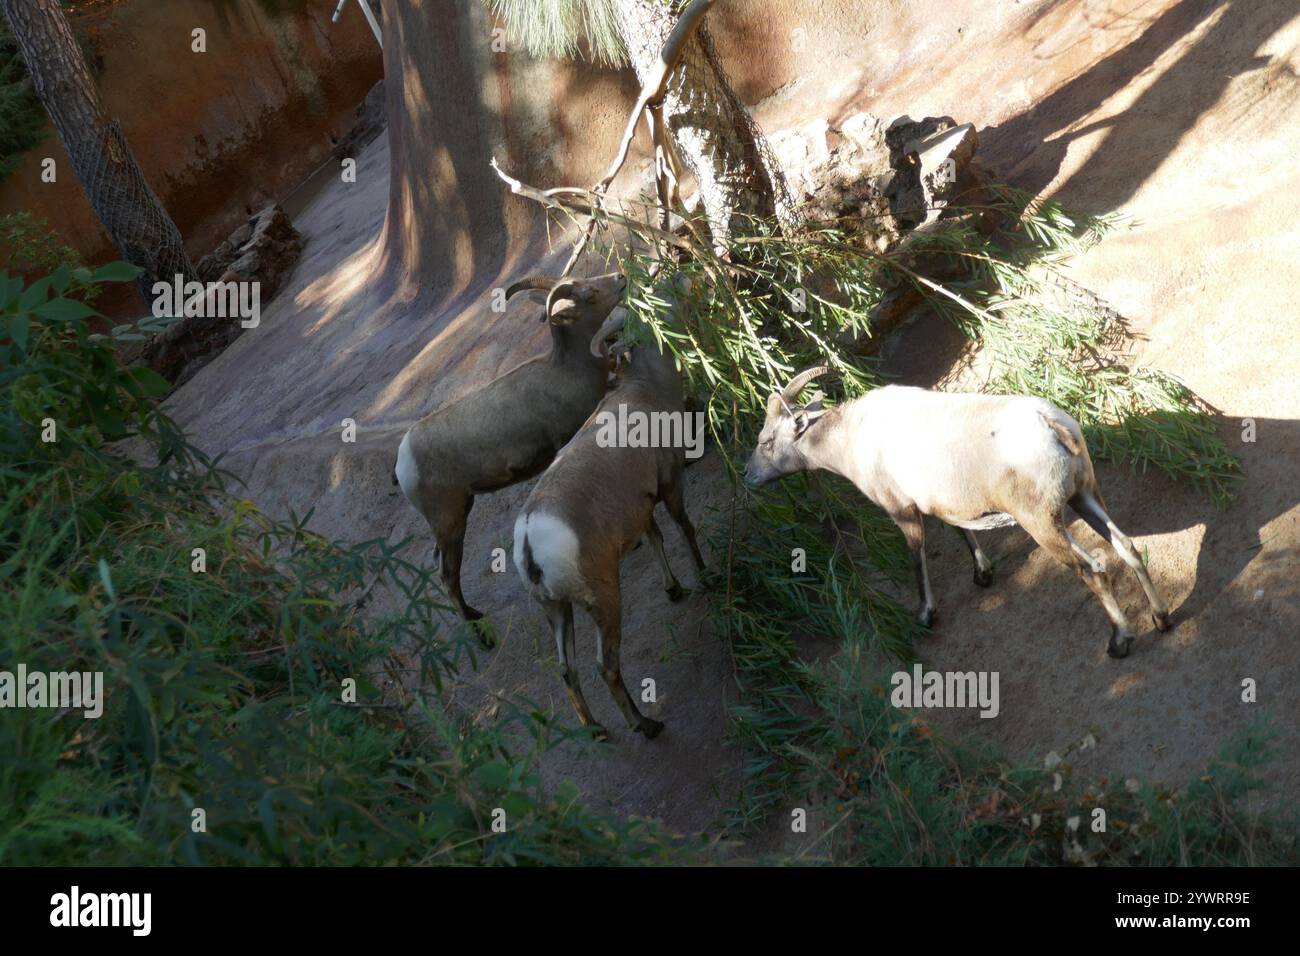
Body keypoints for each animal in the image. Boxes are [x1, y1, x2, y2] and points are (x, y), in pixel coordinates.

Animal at [393, 272, 626, 638]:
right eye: (588, 294)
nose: (620, 277)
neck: (569, 371)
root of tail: (403, 461)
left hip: (454, 516)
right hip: (450, 521)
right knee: (447, 575)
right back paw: (480, 632)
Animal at [511, 303, 705, 739]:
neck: (648, 389)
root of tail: (531, 540)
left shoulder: (640, 509)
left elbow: (656, 538)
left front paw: (674, 588)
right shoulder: (670, 483)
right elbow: (684, 530)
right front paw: (706, 578)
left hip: (557, 610)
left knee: (568, 671)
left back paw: (596, 730)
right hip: (603, 600)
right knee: (607, 666)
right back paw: (646, 725)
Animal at [743, 368, 1172, 658]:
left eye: (767, 441)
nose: (748, 476)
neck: (853, 437)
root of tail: (1053, 425)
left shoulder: (902, 509)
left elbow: (915, 556)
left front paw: (925, 614)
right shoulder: (939, 501)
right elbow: (960, 530)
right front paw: (982, 574)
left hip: (1041, 521)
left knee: (1091, 570)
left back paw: (1119, 642)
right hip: (1083, 495)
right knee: (1126, 546)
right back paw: (1161, 618)